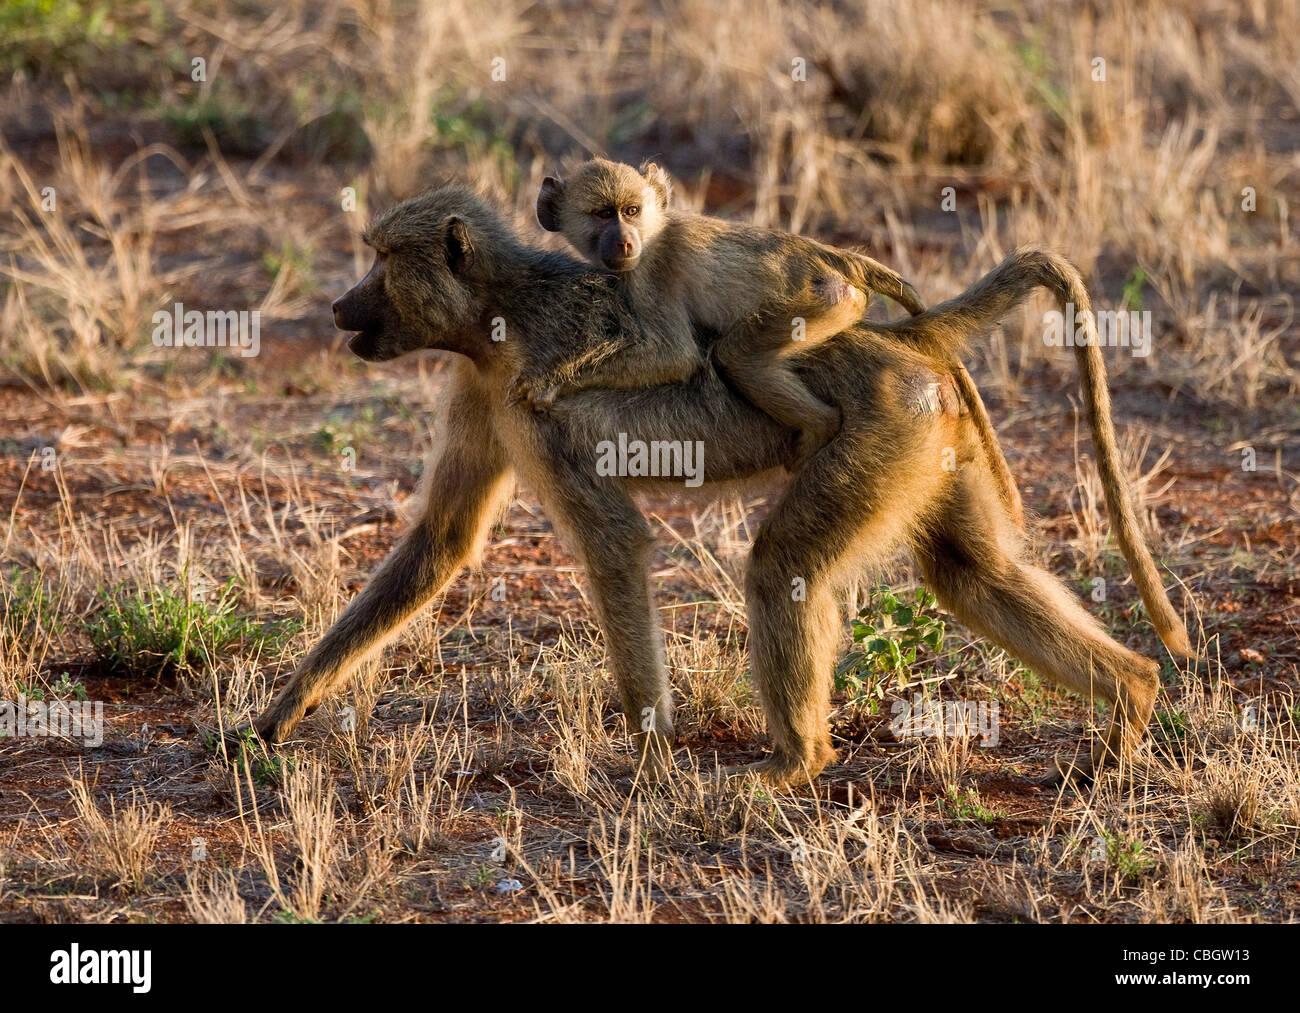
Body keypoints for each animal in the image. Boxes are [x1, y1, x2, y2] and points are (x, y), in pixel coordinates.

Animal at [528, 158, 1024, 523]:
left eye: (630, 211)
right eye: (601, 213)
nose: (624, 243)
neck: (655, 231)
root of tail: (831, 256)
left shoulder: (652, 271)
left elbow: (675, 356)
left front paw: (551, 383)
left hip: (827, 300)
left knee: (737, 356)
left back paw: (818, 428)